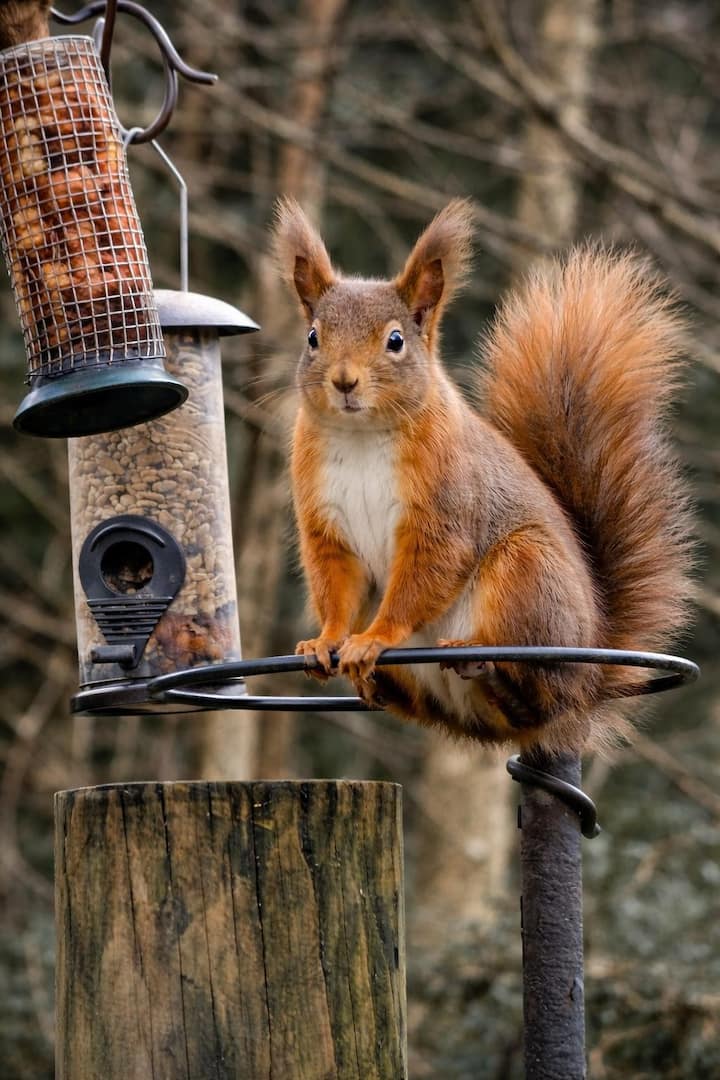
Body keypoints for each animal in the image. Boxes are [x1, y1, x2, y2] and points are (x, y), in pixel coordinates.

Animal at [272, 197, 694, 754]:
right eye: (313, 337)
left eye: (395, 340)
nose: (344, 381)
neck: (362, 436)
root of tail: (588, 684)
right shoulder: (325, 521)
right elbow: (336, 584)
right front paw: (327, 640)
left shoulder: (448, 503)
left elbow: (426, 572)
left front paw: (375, 639)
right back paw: (377, 683)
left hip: (528, 573)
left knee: (534, 695)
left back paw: (482, 659)